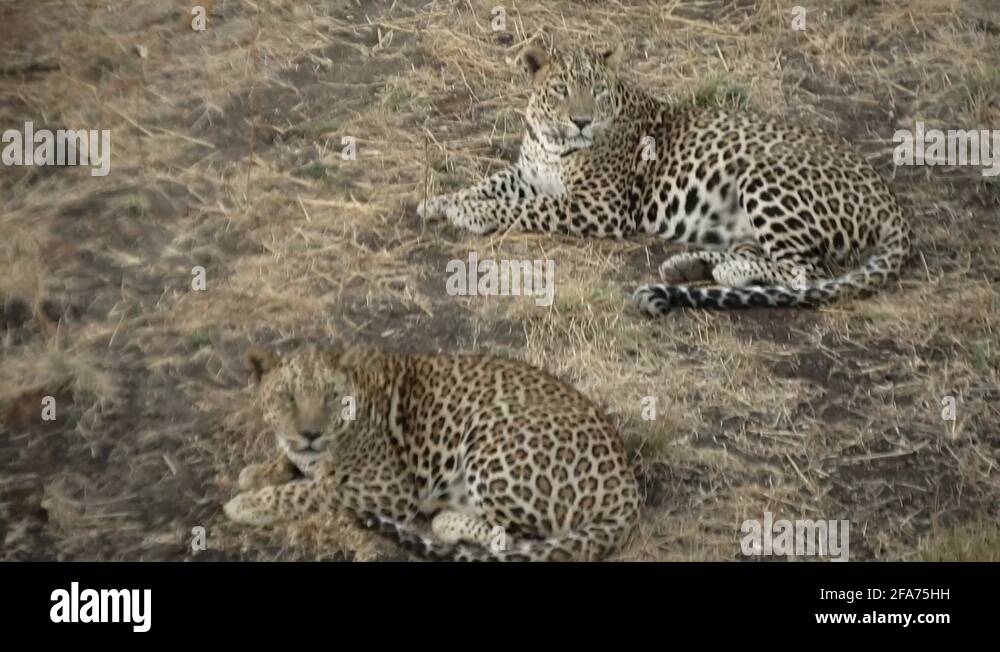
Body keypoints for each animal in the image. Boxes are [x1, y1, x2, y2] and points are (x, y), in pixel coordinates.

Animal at [223, 342, 640, 561]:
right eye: (288, 397)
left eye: (331, 396)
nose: (310, 434)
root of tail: (628, 490)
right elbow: (293, 465)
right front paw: (259, 472)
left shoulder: (386, 488)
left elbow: (308, 491)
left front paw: (250, 503)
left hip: (493, 430)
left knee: (513, 537)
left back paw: (446, 521)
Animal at [417, 43, 911, 315]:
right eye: (561, 89)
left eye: (597, 89)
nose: (582, 121)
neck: (553, 140)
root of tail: (891, 200)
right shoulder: (529, 173)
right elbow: (492, 184)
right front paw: (441, 201)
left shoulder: (599, 206)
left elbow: (524, 207)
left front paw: (469, 212)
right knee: (760, 253)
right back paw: (691, 265)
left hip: (766, 175)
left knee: (806, 270)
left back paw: (724, 268)